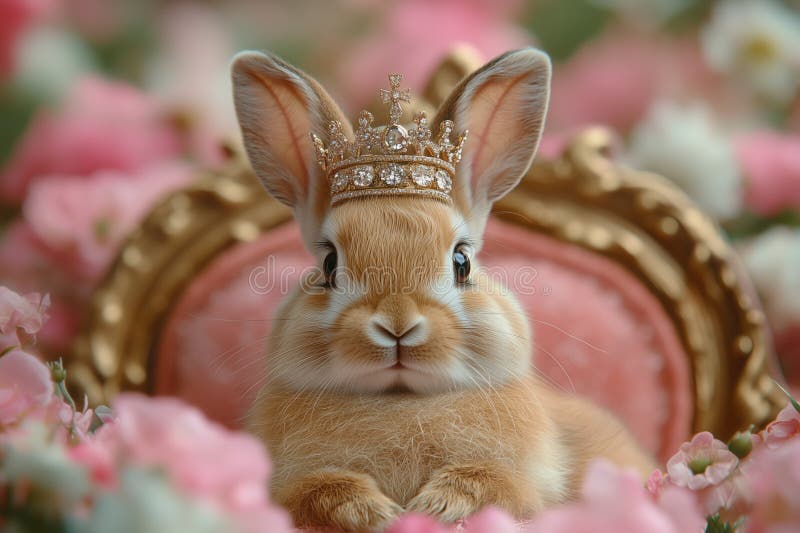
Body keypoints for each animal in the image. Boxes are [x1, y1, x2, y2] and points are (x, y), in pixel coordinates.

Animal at [231, 48, 655, 532]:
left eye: (462, 262)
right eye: (328, 265)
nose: (398, 324)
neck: (400, 400)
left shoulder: (526, 486)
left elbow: (501, 487)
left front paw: (441, 506)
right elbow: (313, 493)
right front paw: (371, 512)